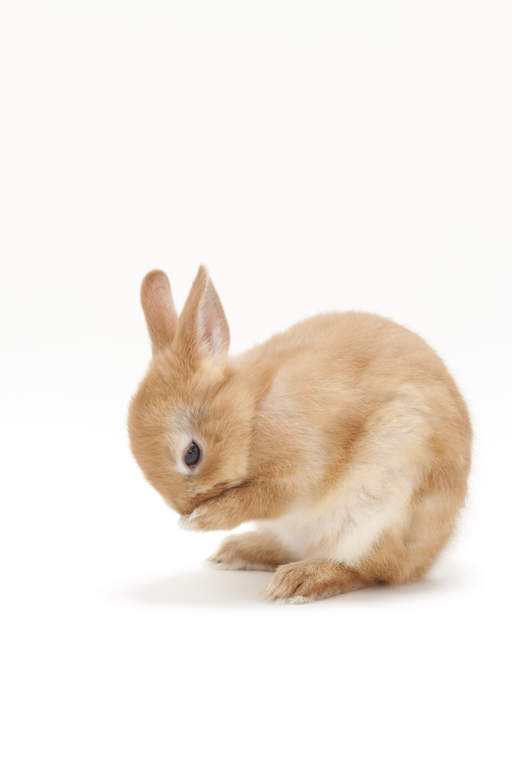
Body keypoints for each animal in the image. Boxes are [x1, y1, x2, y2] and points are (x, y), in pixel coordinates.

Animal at [128, 266, 471, 602]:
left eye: (192, 454)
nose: (185, 508)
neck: (249, 413)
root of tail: (424, 560)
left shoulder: (299, 471)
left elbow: (258, 499)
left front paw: (199, 521)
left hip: (377, 517)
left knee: (369, 569)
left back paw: (300, 581)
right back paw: (237, 551)